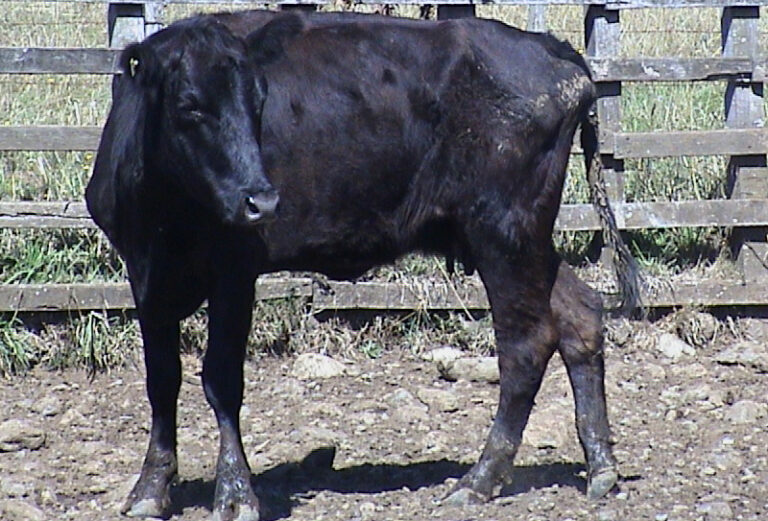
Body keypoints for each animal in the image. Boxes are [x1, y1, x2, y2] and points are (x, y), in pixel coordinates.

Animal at [86, 10, 640, 521]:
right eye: (189, 106)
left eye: (258, 102)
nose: (261, 201)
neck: (169, 214)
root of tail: (550, 48)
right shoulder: (144, 276)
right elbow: (162, 378)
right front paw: (151, 488)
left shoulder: (235, 274)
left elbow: (222, 379)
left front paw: (236, 494)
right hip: (521, 241)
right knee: (580, 314)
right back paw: (601, 466)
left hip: (504, 235)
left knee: (526, 344)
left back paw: (480, 479)